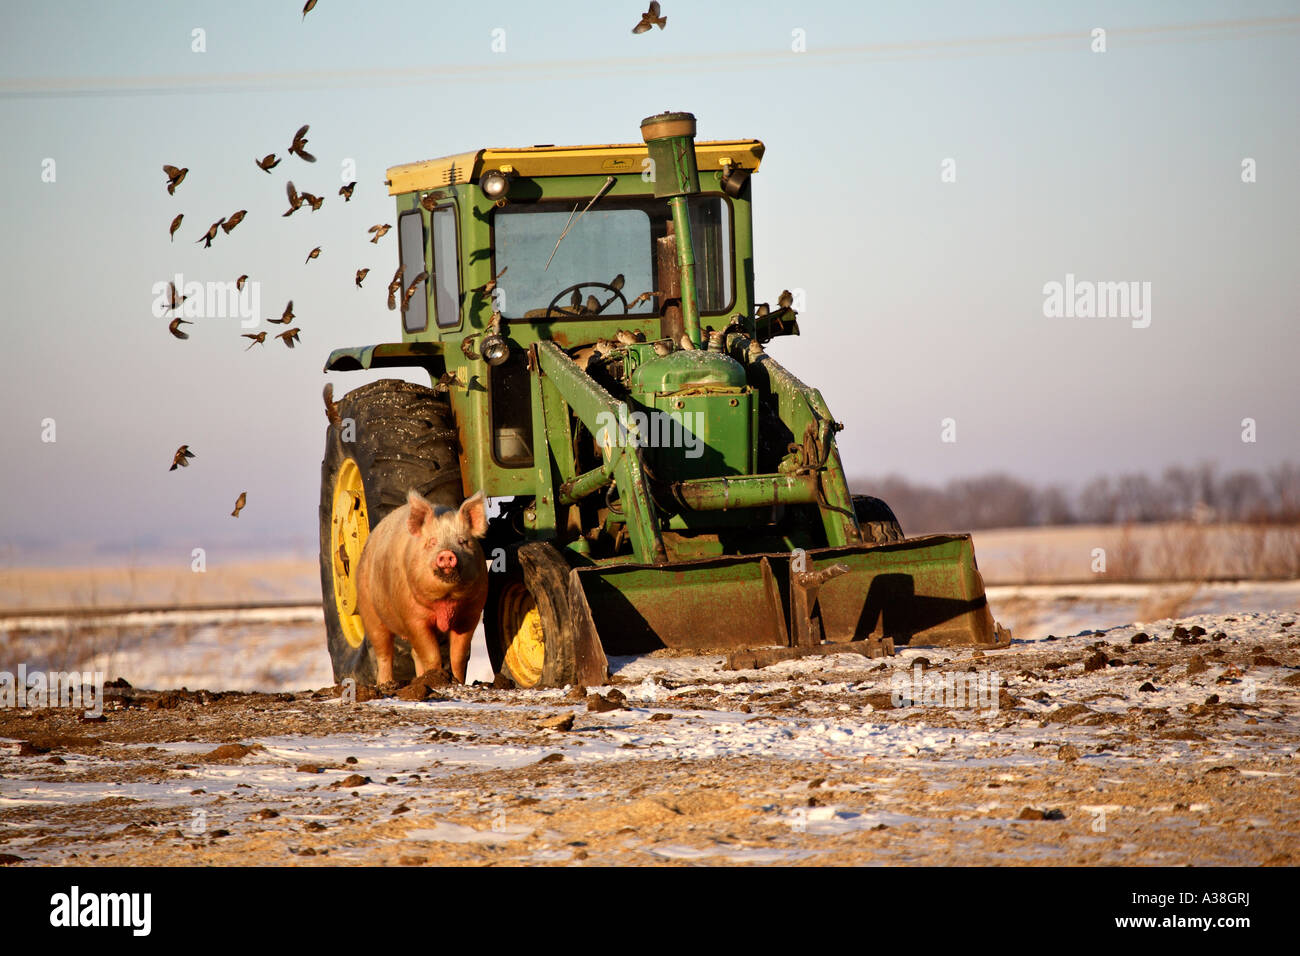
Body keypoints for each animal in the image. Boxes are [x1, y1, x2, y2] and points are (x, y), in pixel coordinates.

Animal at [356, 489, 489, 686]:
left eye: (463, 541)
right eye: (432, 542)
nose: (447, 553)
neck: (446, 600)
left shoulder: (470, 614)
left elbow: (458, 655)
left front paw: (457, 682)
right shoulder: (413, 617)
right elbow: (432, 655)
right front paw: (437, 681)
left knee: (414, 653)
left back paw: (418, 680)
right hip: (368, 609)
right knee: (383, 652)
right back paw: (386, 685)